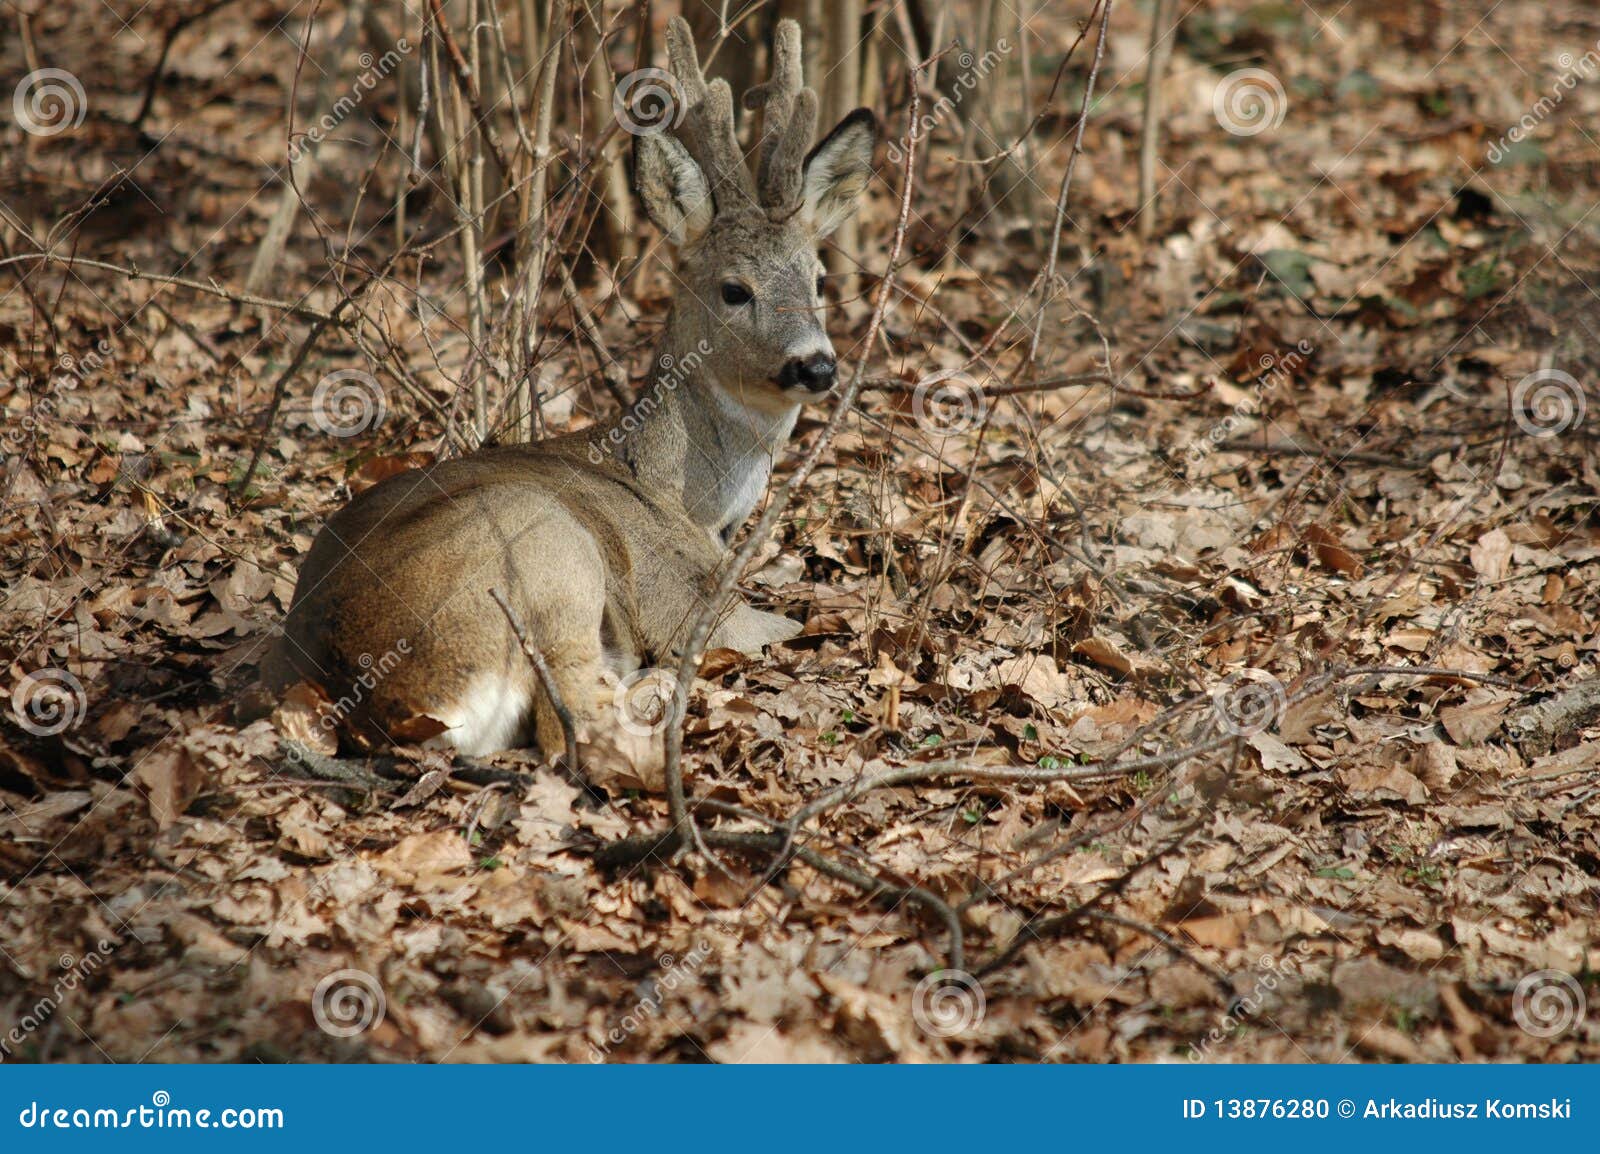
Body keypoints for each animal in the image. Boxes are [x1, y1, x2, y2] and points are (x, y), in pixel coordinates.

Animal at [262, 17, 878, 762]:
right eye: (736, 289)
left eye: (819, 279)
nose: (816, 366)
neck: (692, 501)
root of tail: (386, 701)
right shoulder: (686, 602)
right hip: (549, 548)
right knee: (573, 720)